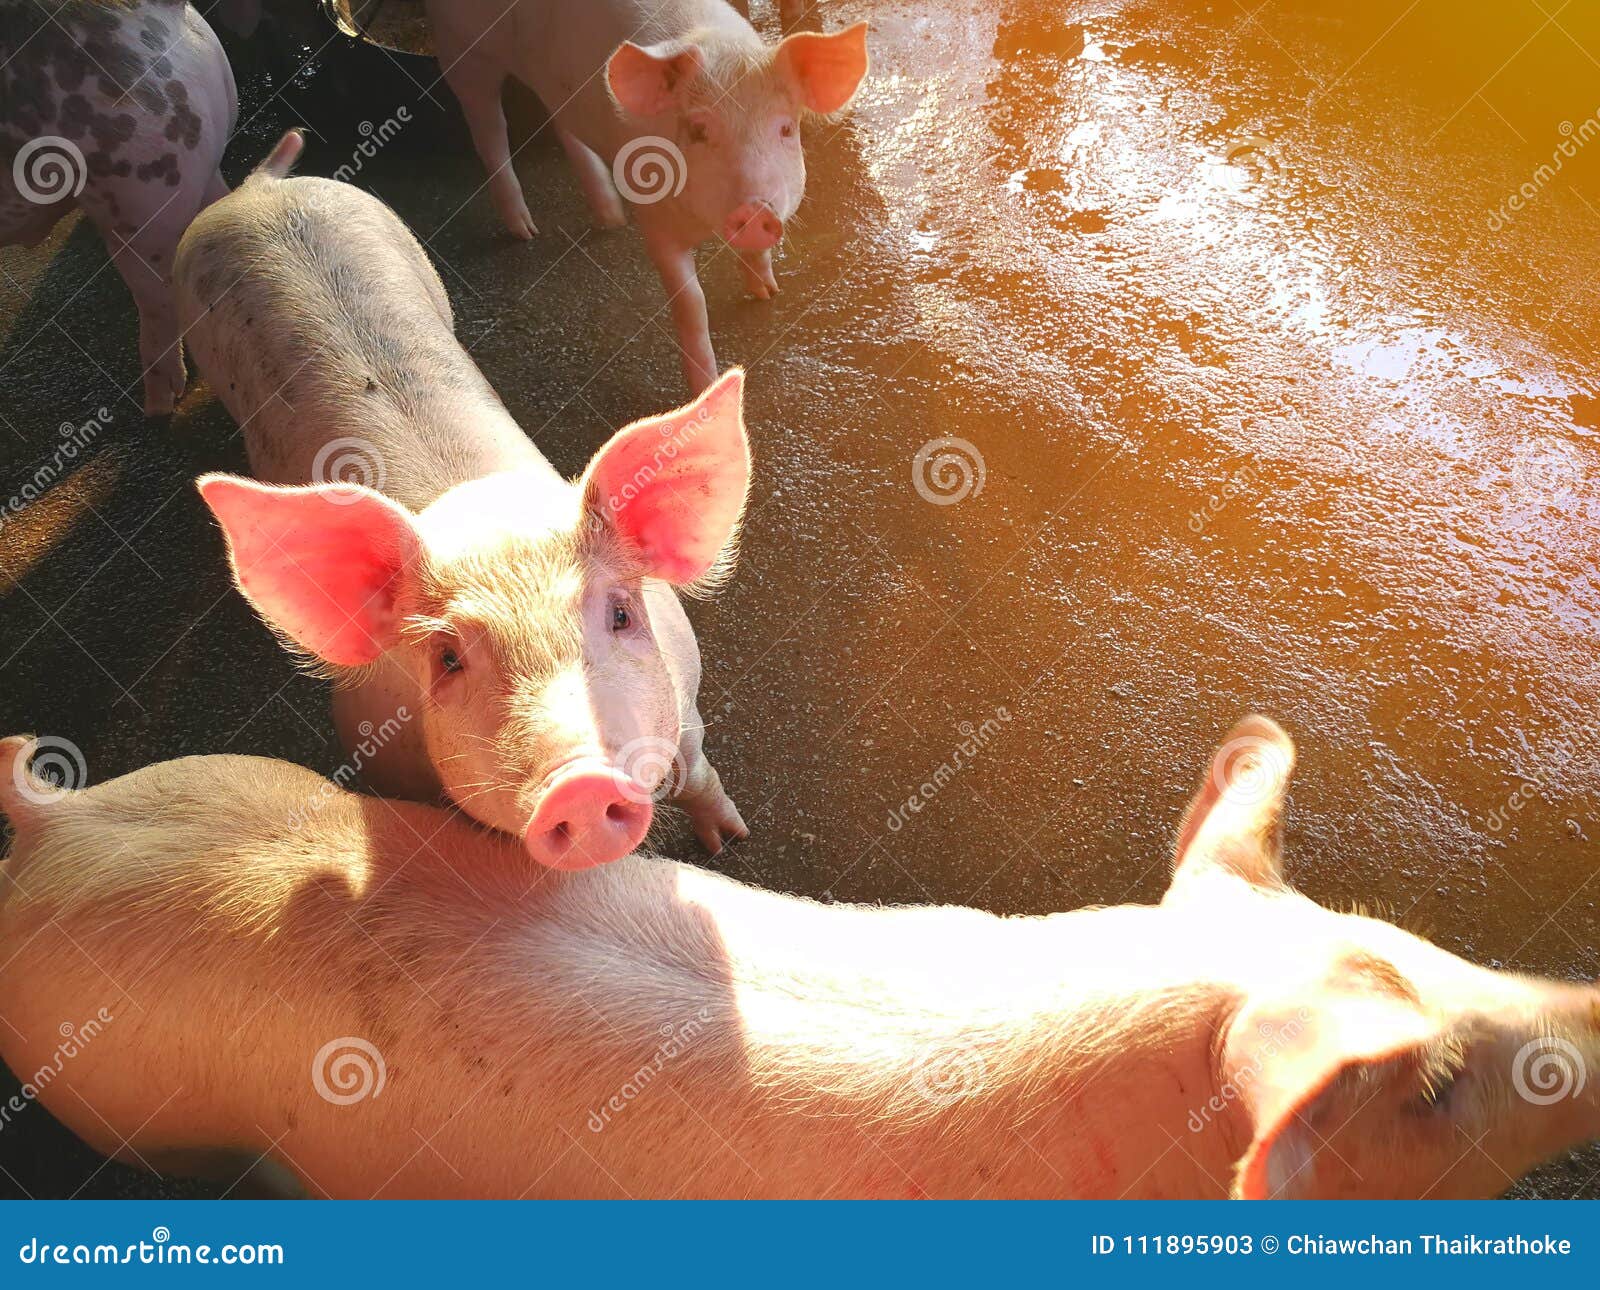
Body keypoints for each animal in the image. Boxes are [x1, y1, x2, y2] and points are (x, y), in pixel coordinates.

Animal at [173, 132, 750, 870]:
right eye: (447, 659)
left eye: (621, 614)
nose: (581, 782)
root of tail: (260, 187)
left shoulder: (686, 707)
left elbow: (701, 772)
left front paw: (730, 839)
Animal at [424, 0, 869, 392]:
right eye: (698, 130)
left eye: (786, 129)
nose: (757, 211)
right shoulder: (655, 221)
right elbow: (691, 304)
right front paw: (705, 389)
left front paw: (767, 293)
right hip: (461, 47)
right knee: (489, 130)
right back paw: (525, 231)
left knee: (563, 126)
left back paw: (609, 218)